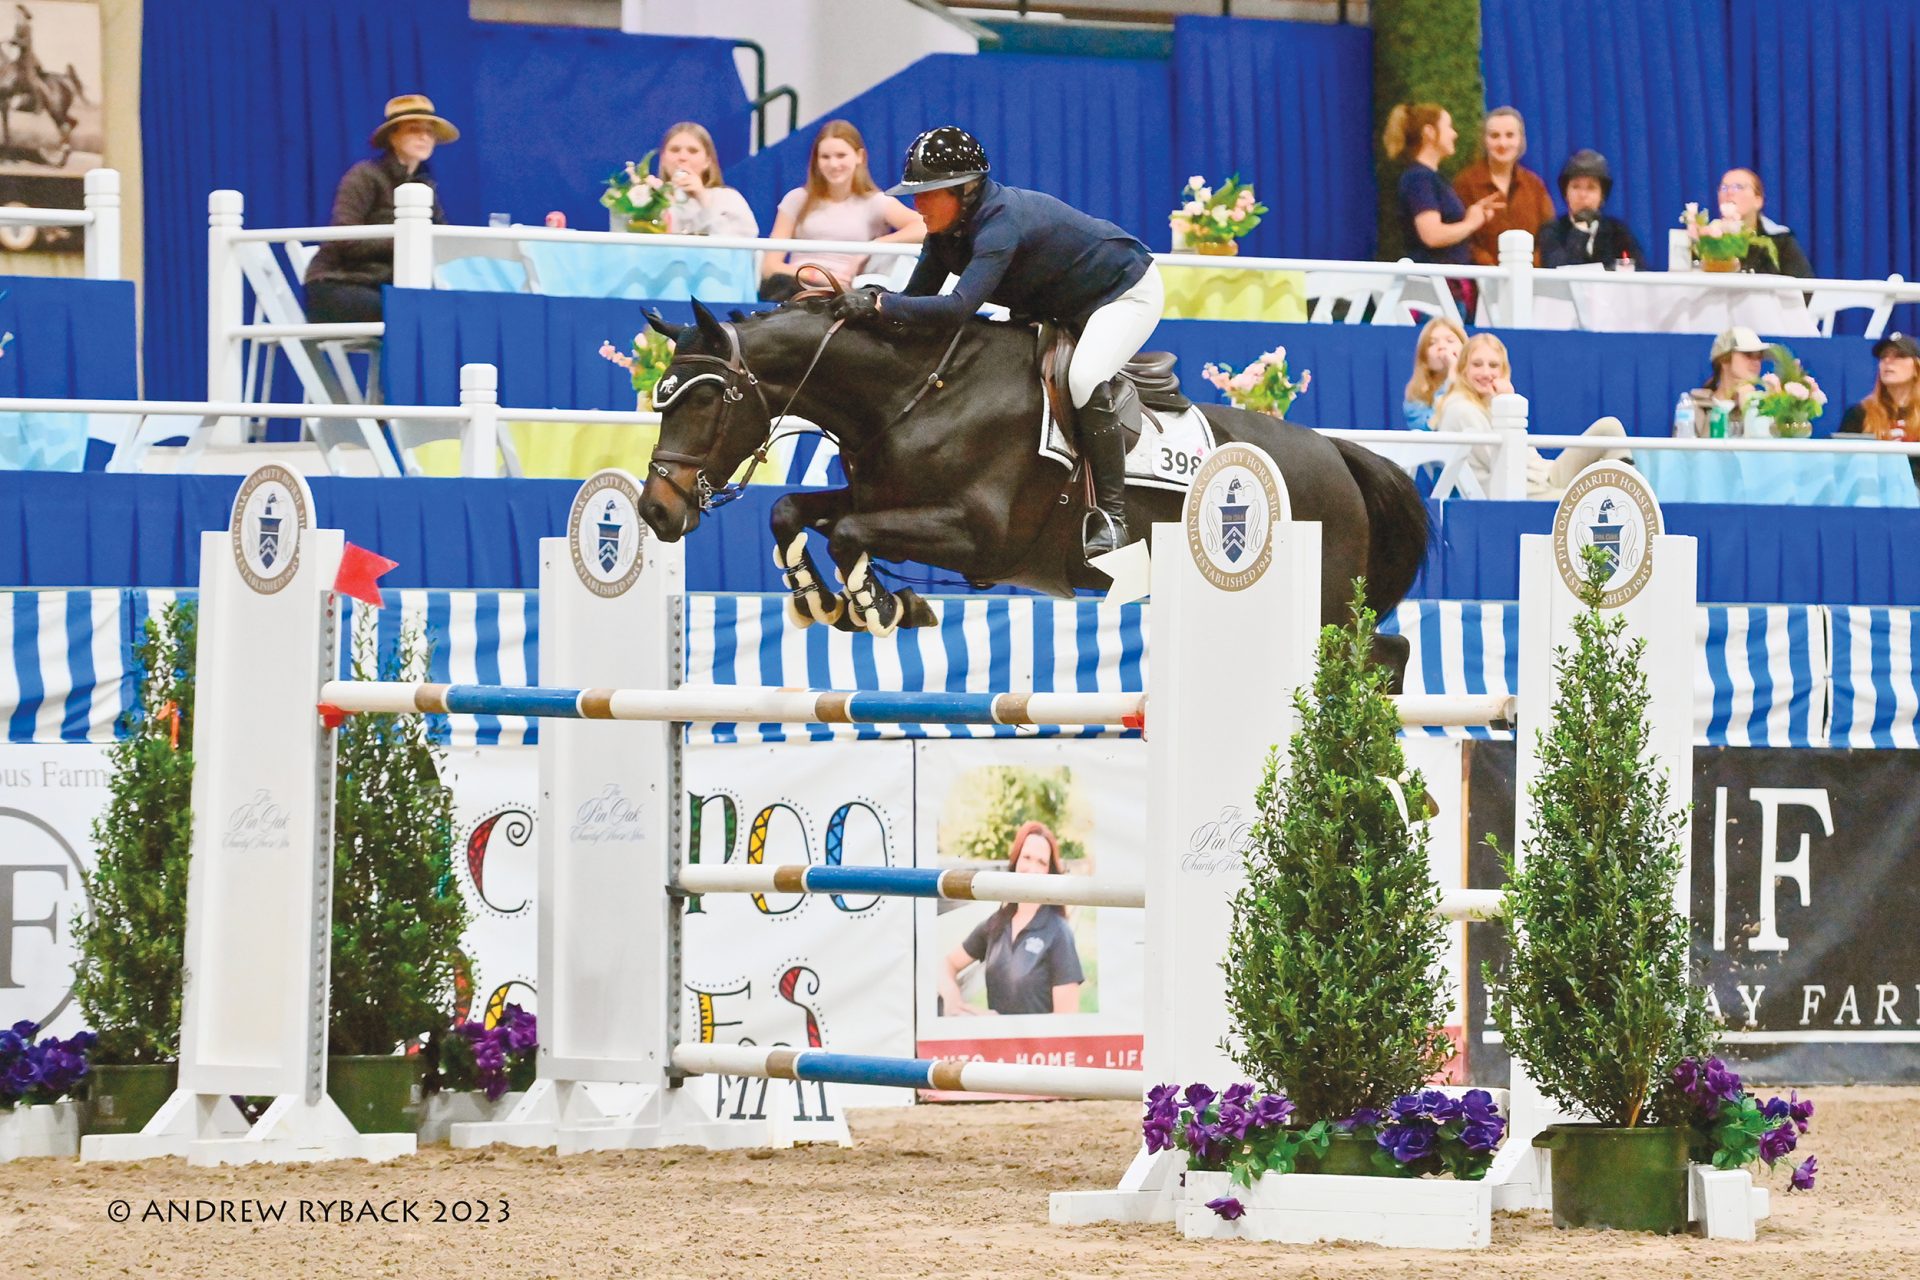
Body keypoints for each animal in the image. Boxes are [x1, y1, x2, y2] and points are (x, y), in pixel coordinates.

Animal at [636, 299, 1427, 684]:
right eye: (662, 397)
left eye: (702, 401)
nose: (654, 510)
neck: (916, 394)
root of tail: (1339, 456)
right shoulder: (878, 495)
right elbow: (793, 511)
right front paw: (824, 600)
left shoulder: (978, 535)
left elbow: (851, 535)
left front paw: (882, 606)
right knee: (1387, 651)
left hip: (1322, 608)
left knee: (1377, 654)